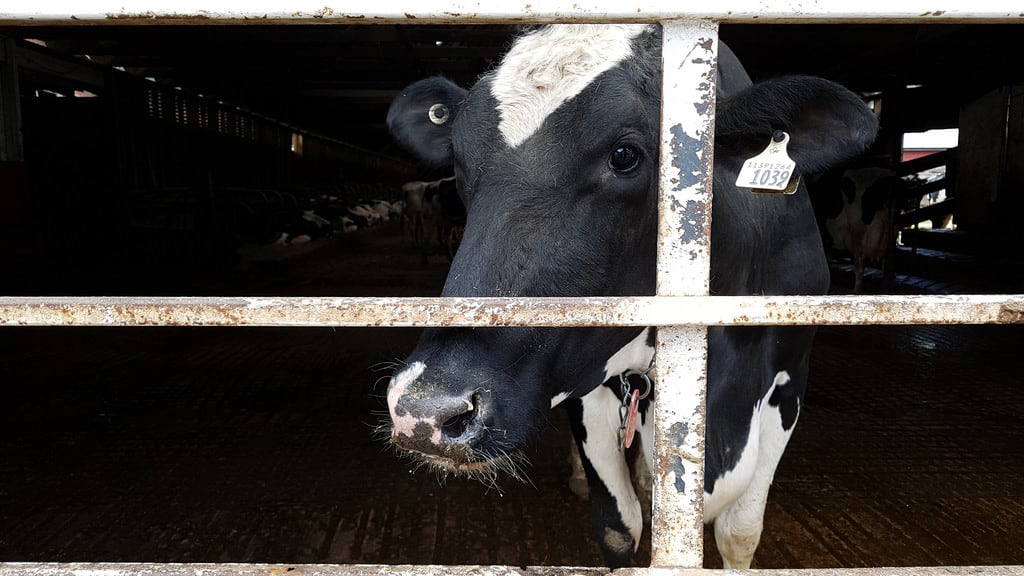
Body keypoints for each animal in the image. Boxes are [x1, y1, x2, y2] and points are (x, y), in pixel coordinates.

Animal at [384, 24, 877, 568]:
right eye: (459, 159)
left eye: (625, 156)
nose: (427, 411)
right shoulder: (591, 380)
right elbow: (619, 527)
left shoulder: (790, 375)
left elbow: (740, 531)